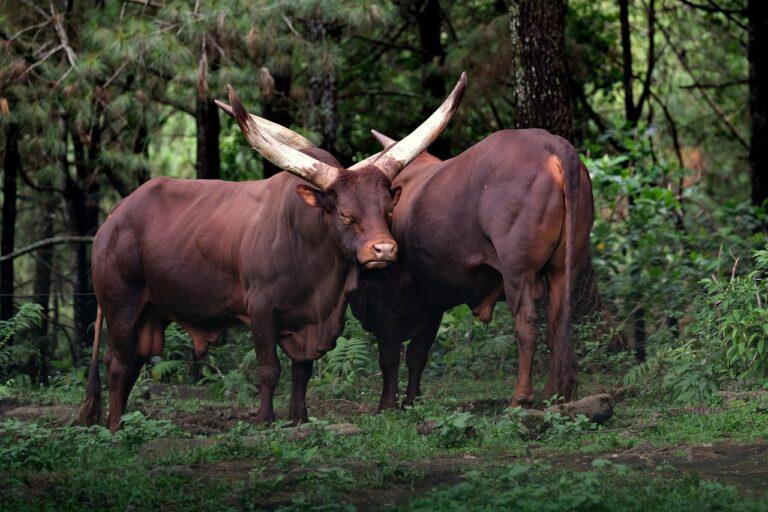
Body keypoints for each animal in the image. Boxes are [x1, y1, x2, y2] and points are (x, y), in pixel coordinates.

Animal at [79, 74, 467, 431]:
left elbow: (302, 371)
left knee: (132, 363)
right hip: (121, 306)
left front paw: (299, 419)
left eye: (388, 210)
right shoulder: (261, 309)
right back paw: (115, 427)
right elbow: (269, 368)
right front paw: (265, 420)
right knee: (118, 365)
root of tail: (113, 219)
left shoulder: (308, 321)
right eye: (345, 215)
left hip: (149, 314)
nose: (384, 249)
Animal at [347, 128, 595, 409]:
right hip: (562, 268)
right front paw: (411, 401)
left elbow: (390, 355)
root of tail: (551, 143)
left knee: (527, 322)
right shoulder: (431, 298)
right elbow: (417, 353)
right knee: (558, 321)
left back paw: (521, 397)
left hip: (517, 270)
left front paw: (387, 405)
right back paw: (557, 393)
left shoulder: (387, 299)